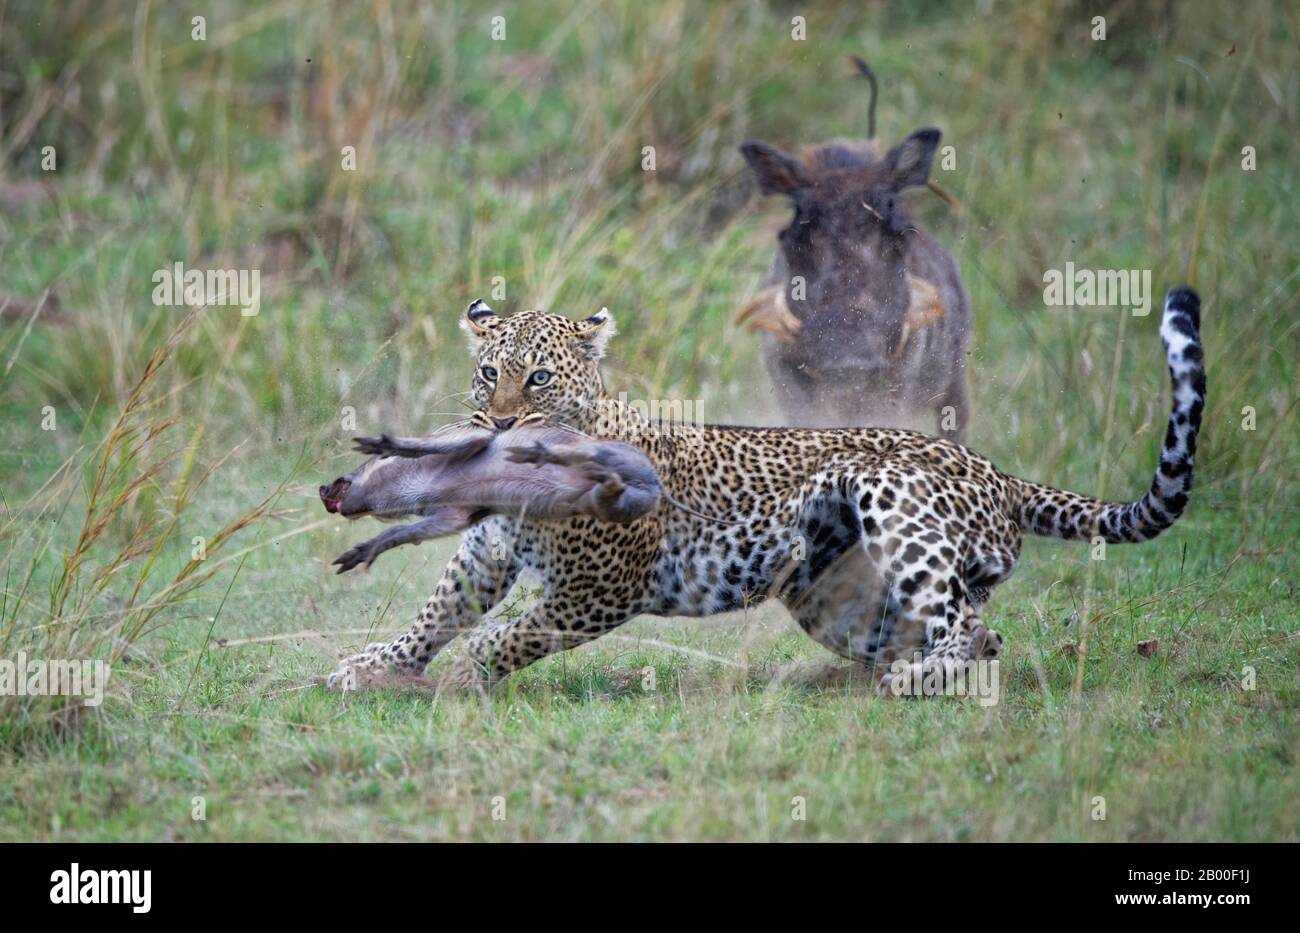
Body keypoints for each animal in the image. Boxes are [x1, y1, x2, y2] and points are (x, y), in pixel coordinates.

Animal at [326, 287, 1204, 695]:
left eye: (538, 376)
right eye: (487, 370)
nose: (501, 420)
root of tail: (998, 470)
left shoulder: (602, 587)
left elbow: (505, 635)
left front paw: (463, 678)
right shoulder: (486, 554)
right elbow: (436, 614)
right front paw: (368, 667)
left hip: (888, 491)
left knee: (973, 630)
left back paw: (908, 685)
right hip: (832, 596)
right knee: (967, 628)